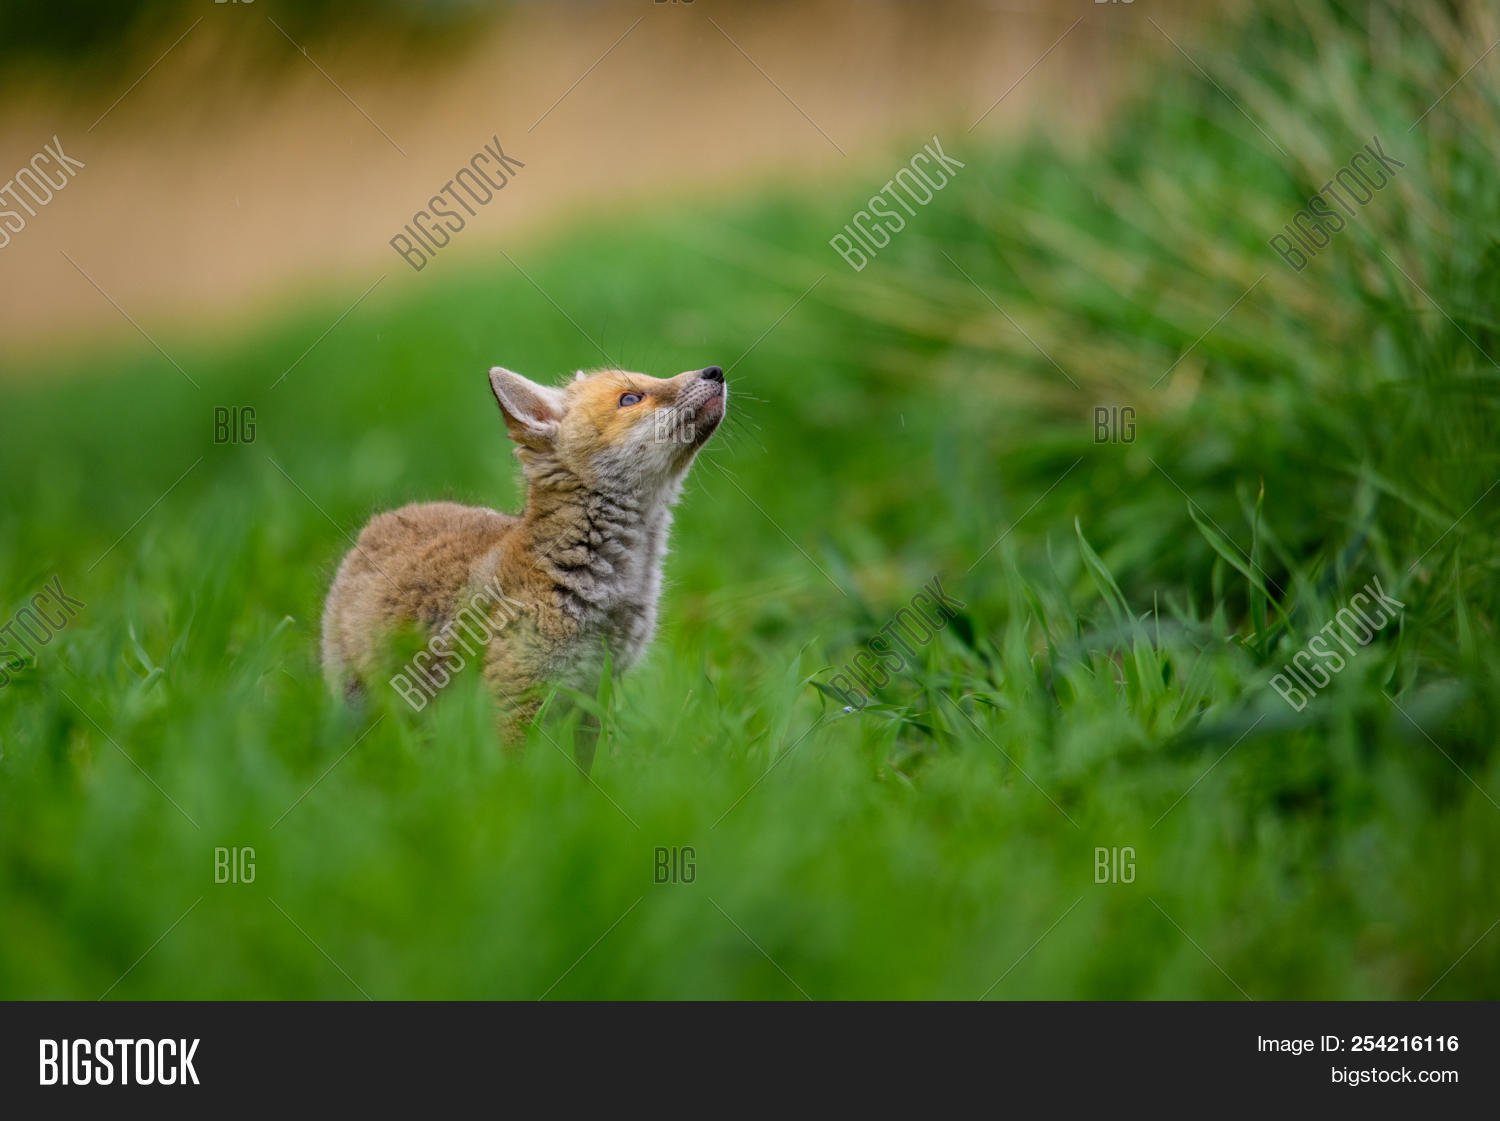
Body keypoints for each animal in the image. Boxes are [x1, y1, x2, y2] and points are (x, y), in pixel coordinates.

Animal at [319, 363, 727, 756]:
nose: (715, 371)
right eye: (630, 398)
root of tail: (377, 524)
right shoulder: (517, 695)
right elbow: (515, 770)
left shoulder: (592, 690)